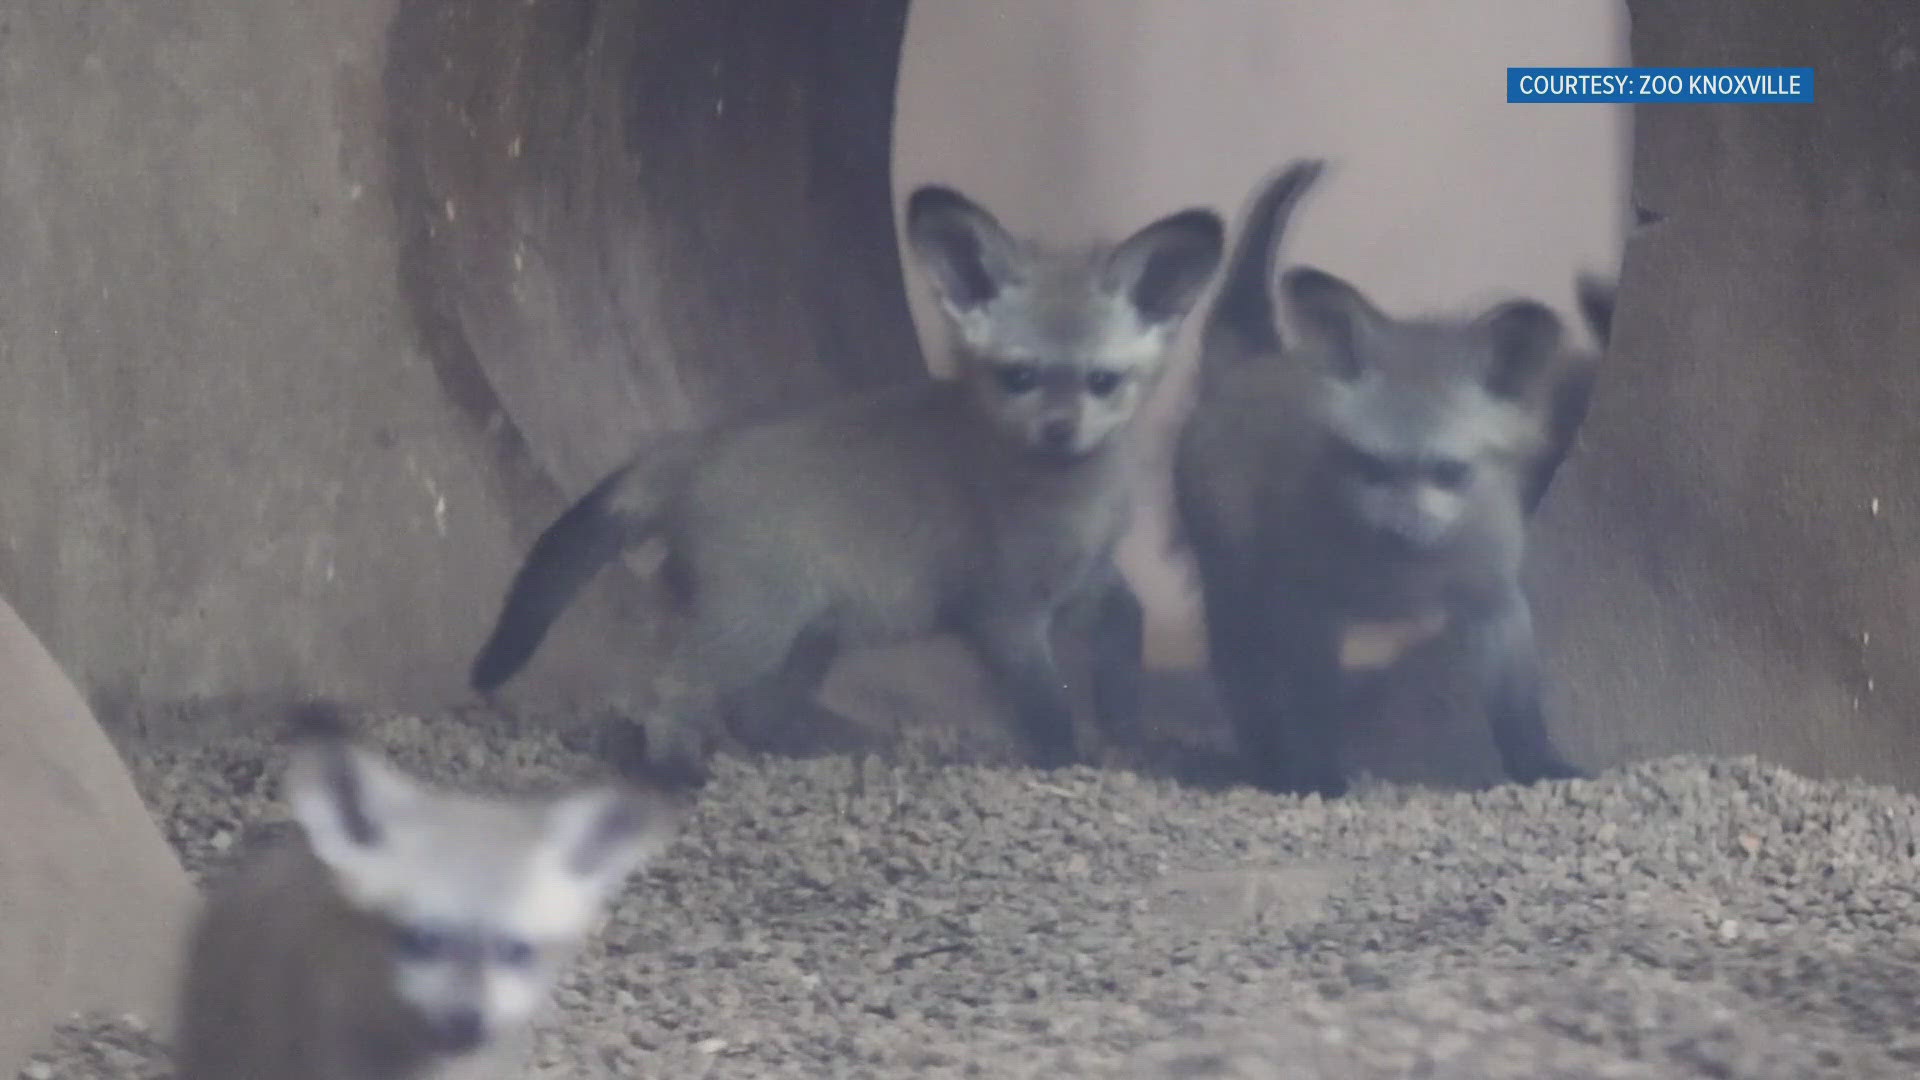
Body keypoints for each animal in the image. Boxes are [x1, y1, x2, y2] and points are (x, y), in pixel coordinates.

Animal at [469, 184, 1227, 770]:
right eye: (1020, 377)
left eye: (1103, 381)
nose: (1060, 431)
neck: (1074, 504)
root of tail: (690, 449)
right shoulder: (1005, 616)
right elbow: (1047, 709)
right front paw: (1068, 763)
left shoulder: (1088, 587)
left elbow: (1127, 637)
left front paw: (1128, 731)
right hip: (755, 626)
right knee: (674, 691)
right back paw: (675, 768)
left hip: (808, 634)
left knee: (757, 714)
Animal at [1171, 159, 1615, 798]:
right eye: (1372, 466)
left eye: (1449, 470)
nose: (1404, 530)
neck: (1403, 579)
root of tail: (1255, 360)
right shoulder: (1308, 610)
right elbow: (1310, 708)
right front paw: (1315, 774)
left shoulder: (1494, 599)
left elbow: (1518, 708)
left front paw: (1540, 765)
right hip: (1232, 592)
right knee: (1242, 685)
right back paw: (1265, 761)